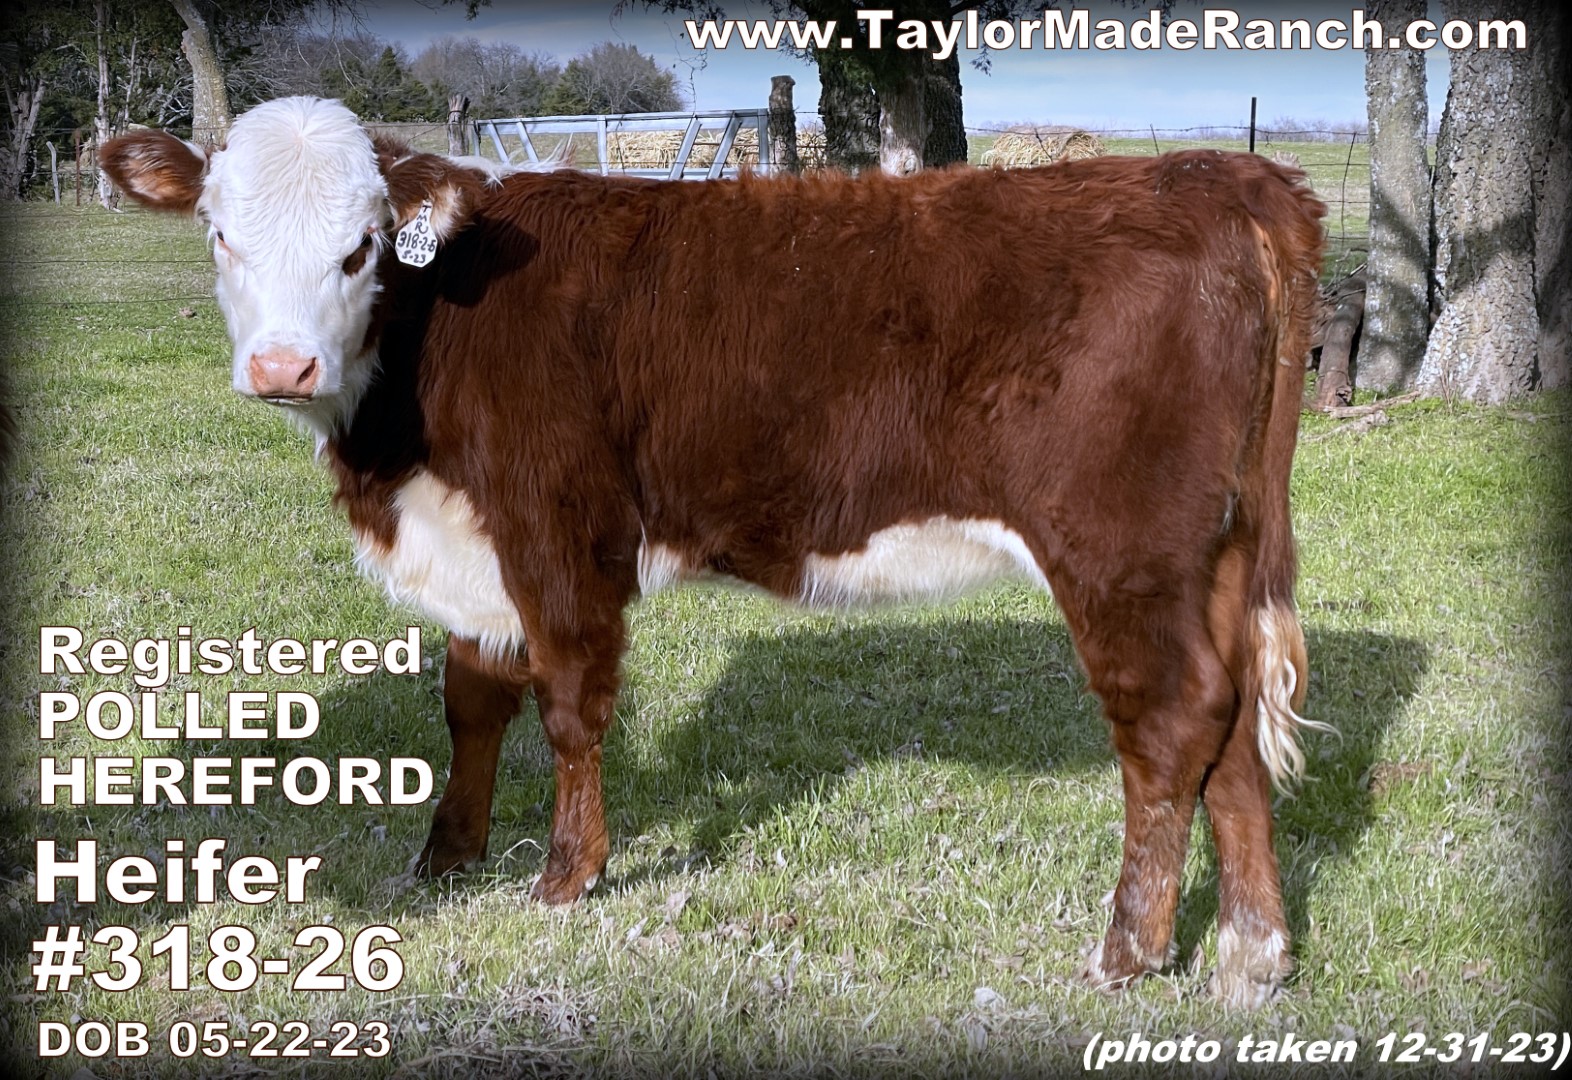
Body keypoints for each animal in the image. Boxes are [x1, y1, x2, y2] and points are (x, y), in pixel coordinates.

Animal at [102, 96, 1328, 1008]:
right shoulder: (472, 548)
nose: (281, 367)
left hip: (1120, 545)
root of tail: (1218, 178)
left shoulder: (556, 526)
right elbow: (470, 700)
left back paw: (1129, 950)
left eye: (361, 248)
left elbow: (566, 705)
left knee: (1173, 721)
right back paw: (1251, 955)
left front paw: (566, 875)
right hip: (1217, 551)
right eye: (220, 234)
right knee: (1233, 718)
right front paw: (446, 856)